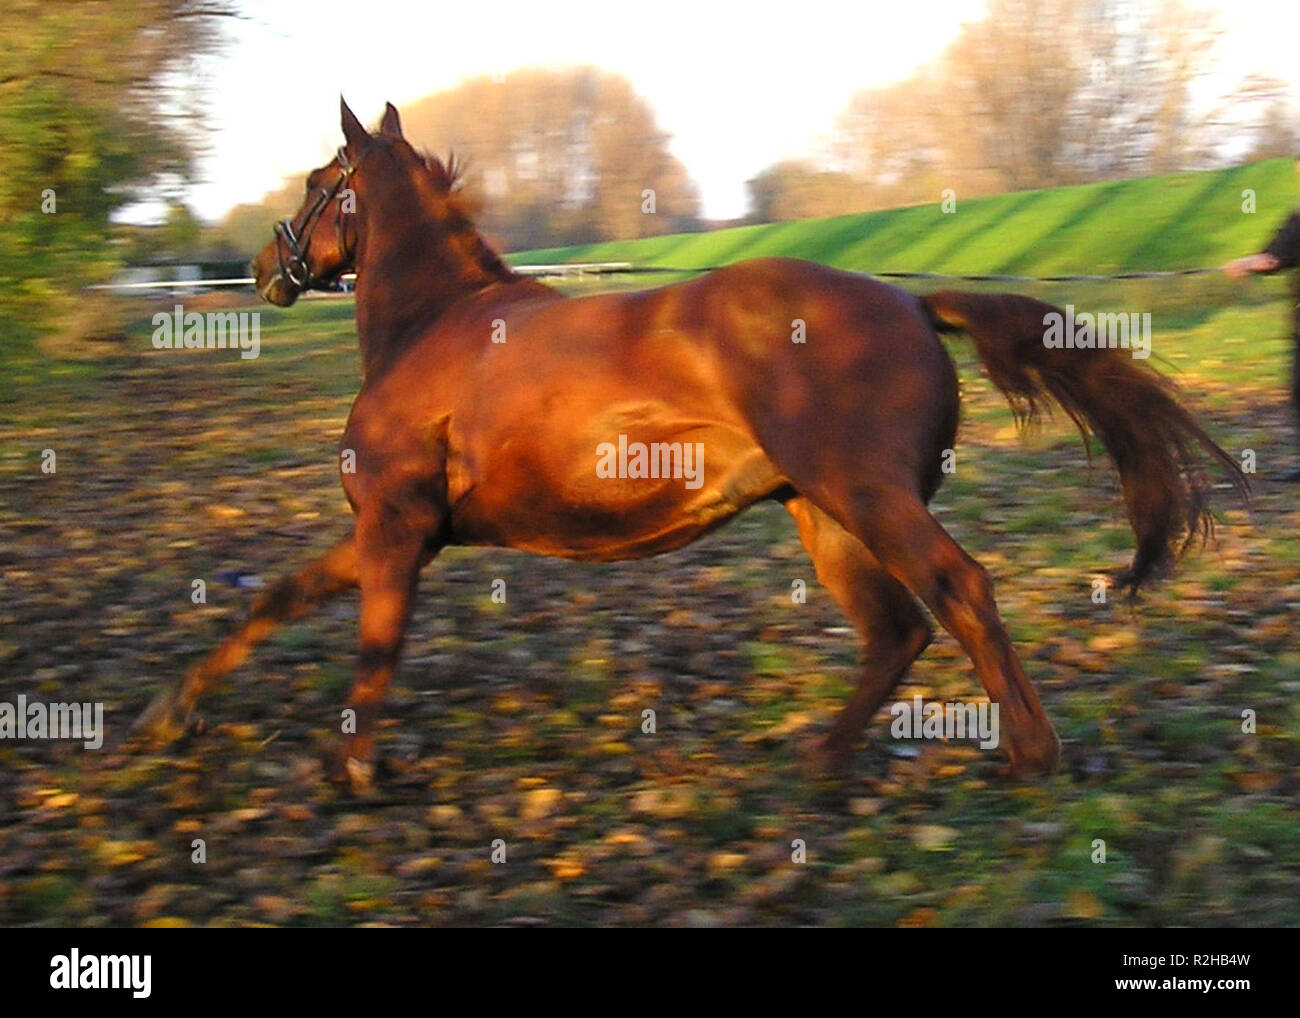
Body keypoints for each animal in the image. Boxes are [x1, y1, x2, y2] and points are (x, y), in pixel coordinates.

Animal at [136, 99, 1246, 791]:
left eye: (317, 180)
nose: (262, 267)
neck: (434, 329)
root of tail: (909, 302)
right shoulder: (383, 530)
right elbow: (278, 598)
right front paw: (172, 712)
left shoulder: (398, 528)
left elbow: (375, 645)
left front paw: (355, 764)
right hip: (821, 515)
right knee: (895, 631)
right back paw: (820, 756)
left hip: (869, 499)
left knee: (959, 591)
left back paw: (1026, 752)